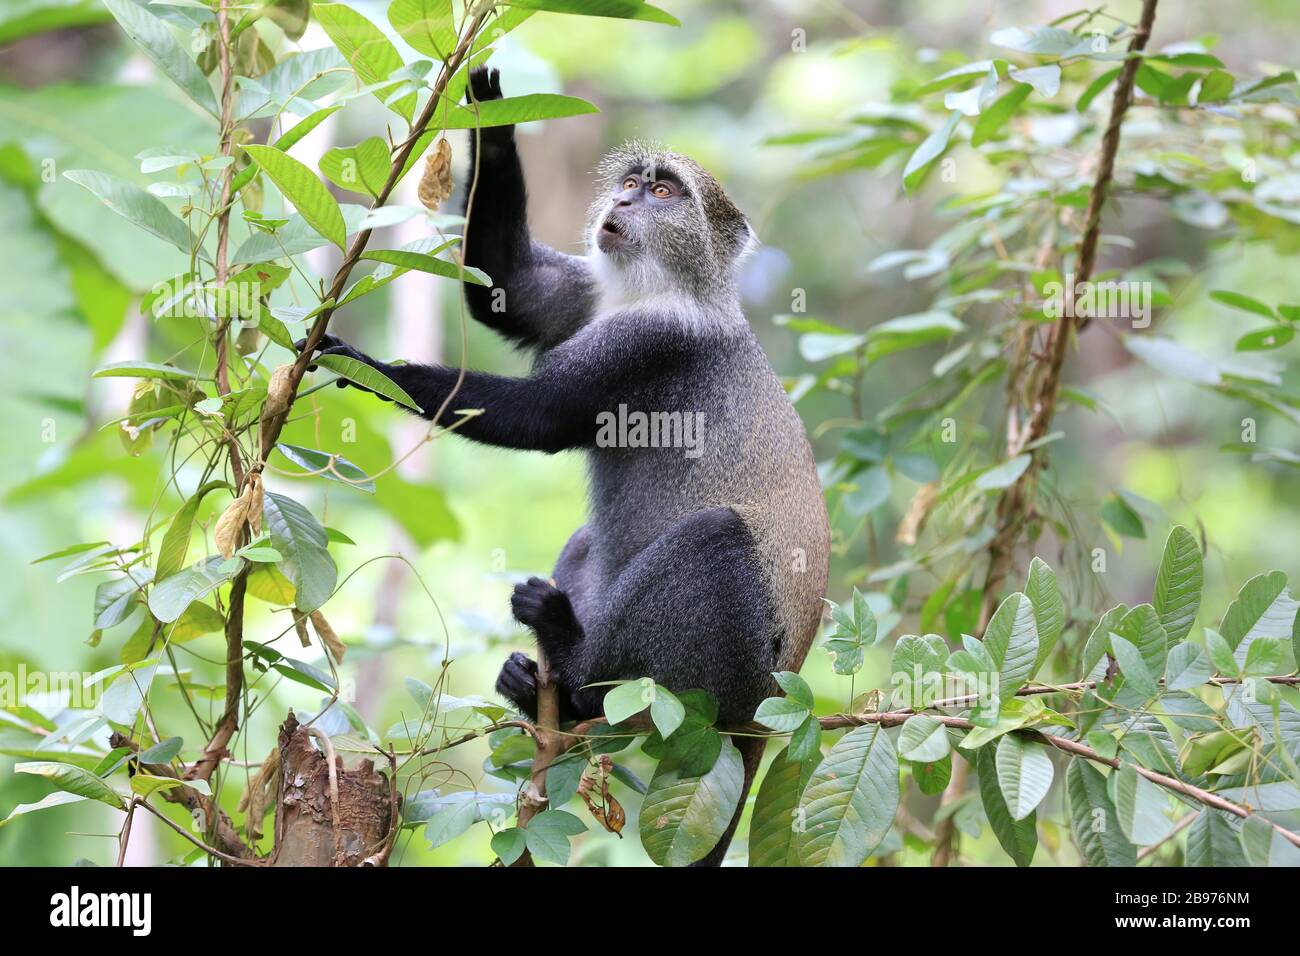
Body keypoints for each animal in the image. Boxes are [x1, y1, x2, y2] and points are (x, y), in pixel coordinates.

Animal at [300, 66, 829, 866]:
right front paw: (490, 113)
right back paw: (537, 683)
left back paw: (573, 671)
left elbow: (541, 418)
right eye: (633, 183)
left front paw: (357, 363)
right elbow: (509, 289)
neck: (652, 285)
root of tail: (764, 720)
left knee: (718, 540)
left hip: (720, 673)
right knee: (588, 544)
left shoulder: (652, 340)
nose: (624, 203)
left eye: (665, 192)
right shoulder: (586, 293)